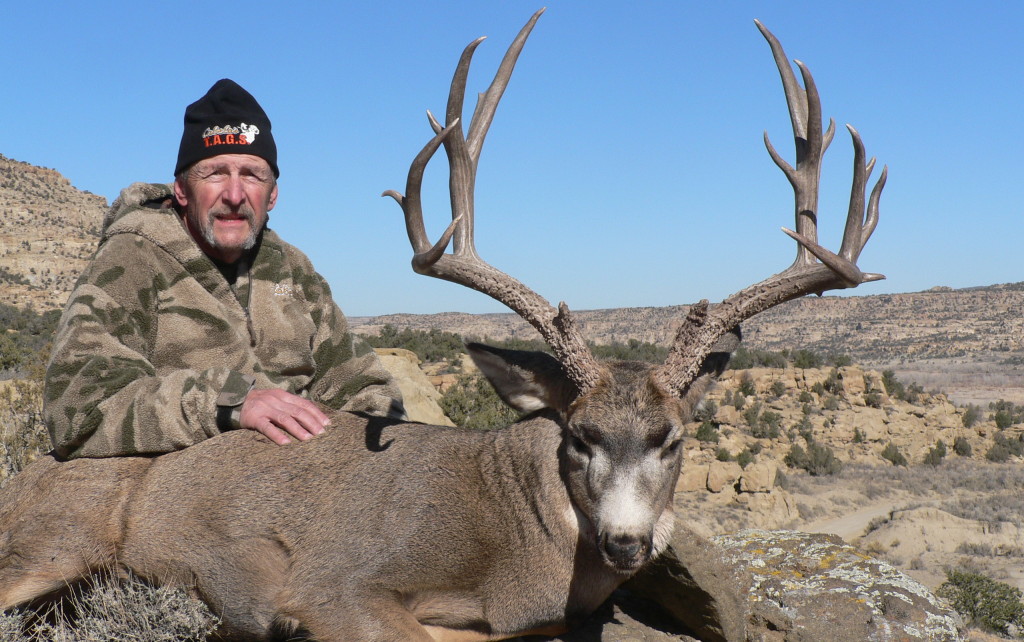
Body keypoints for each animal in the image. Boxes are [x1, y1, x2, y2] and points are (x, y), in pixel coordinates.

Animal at [0, 9, 886, 642]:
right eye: (580, 436)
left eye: (672, 439)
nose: (628, 545)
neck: (511, 541)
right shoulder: (335, 581)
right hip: (51, 539)